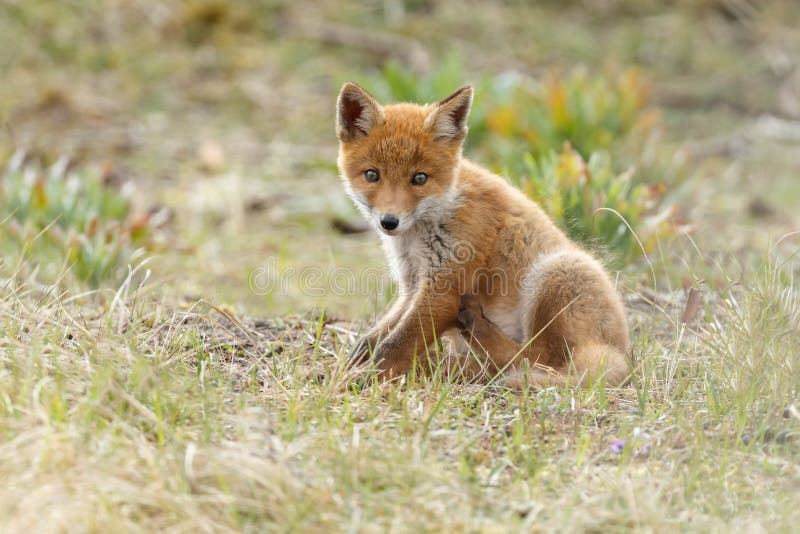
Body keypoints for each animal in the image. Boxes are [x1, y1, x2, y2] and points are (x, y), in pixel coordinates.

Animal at [336, 82, 629, 387]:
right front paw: (359, 356)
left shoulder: (444, 289)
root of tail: (620, 353)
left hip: (556, 272)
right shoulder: (412, 283)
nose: (389, 222)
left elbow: (394, 345)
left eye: (419, 178)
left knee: (533, 358)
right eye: (372, 175)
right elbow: (383, 331)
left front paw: (360, 378)